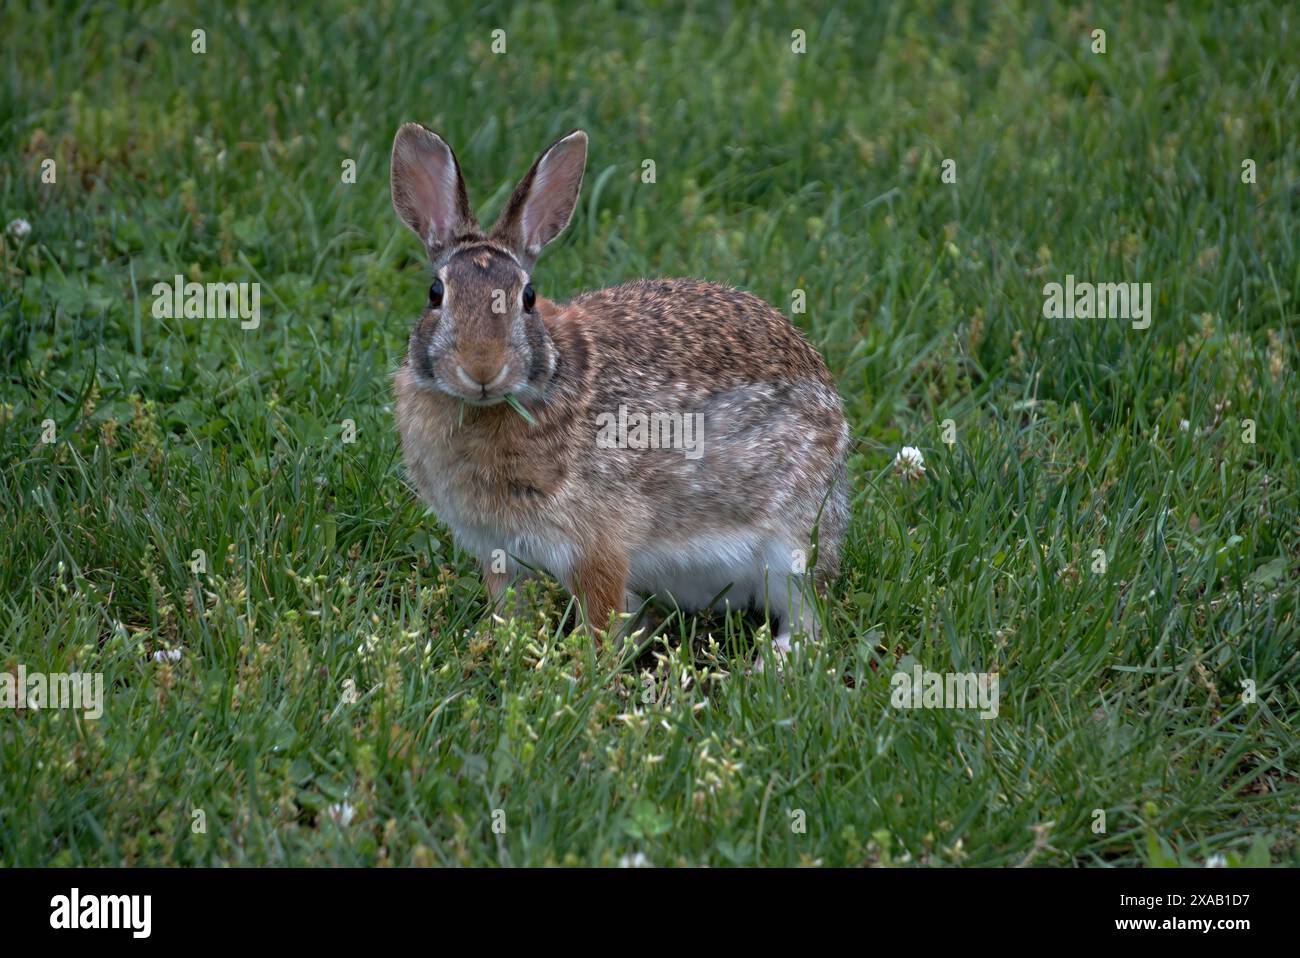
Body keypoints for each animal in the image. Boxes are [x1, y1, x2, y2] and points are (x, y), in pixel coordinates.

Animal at [390, 123, 849, 662]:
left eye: (528, 298)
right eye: (435, 294)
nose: (482, 367)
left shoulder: (598, 542)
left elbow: (601, 611)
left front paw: (587, 667)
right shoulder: (499, 550)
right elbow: (511, 607)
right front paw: (504, 645)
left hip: (790, 543)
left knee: (808, 616)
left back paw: (773, 661)